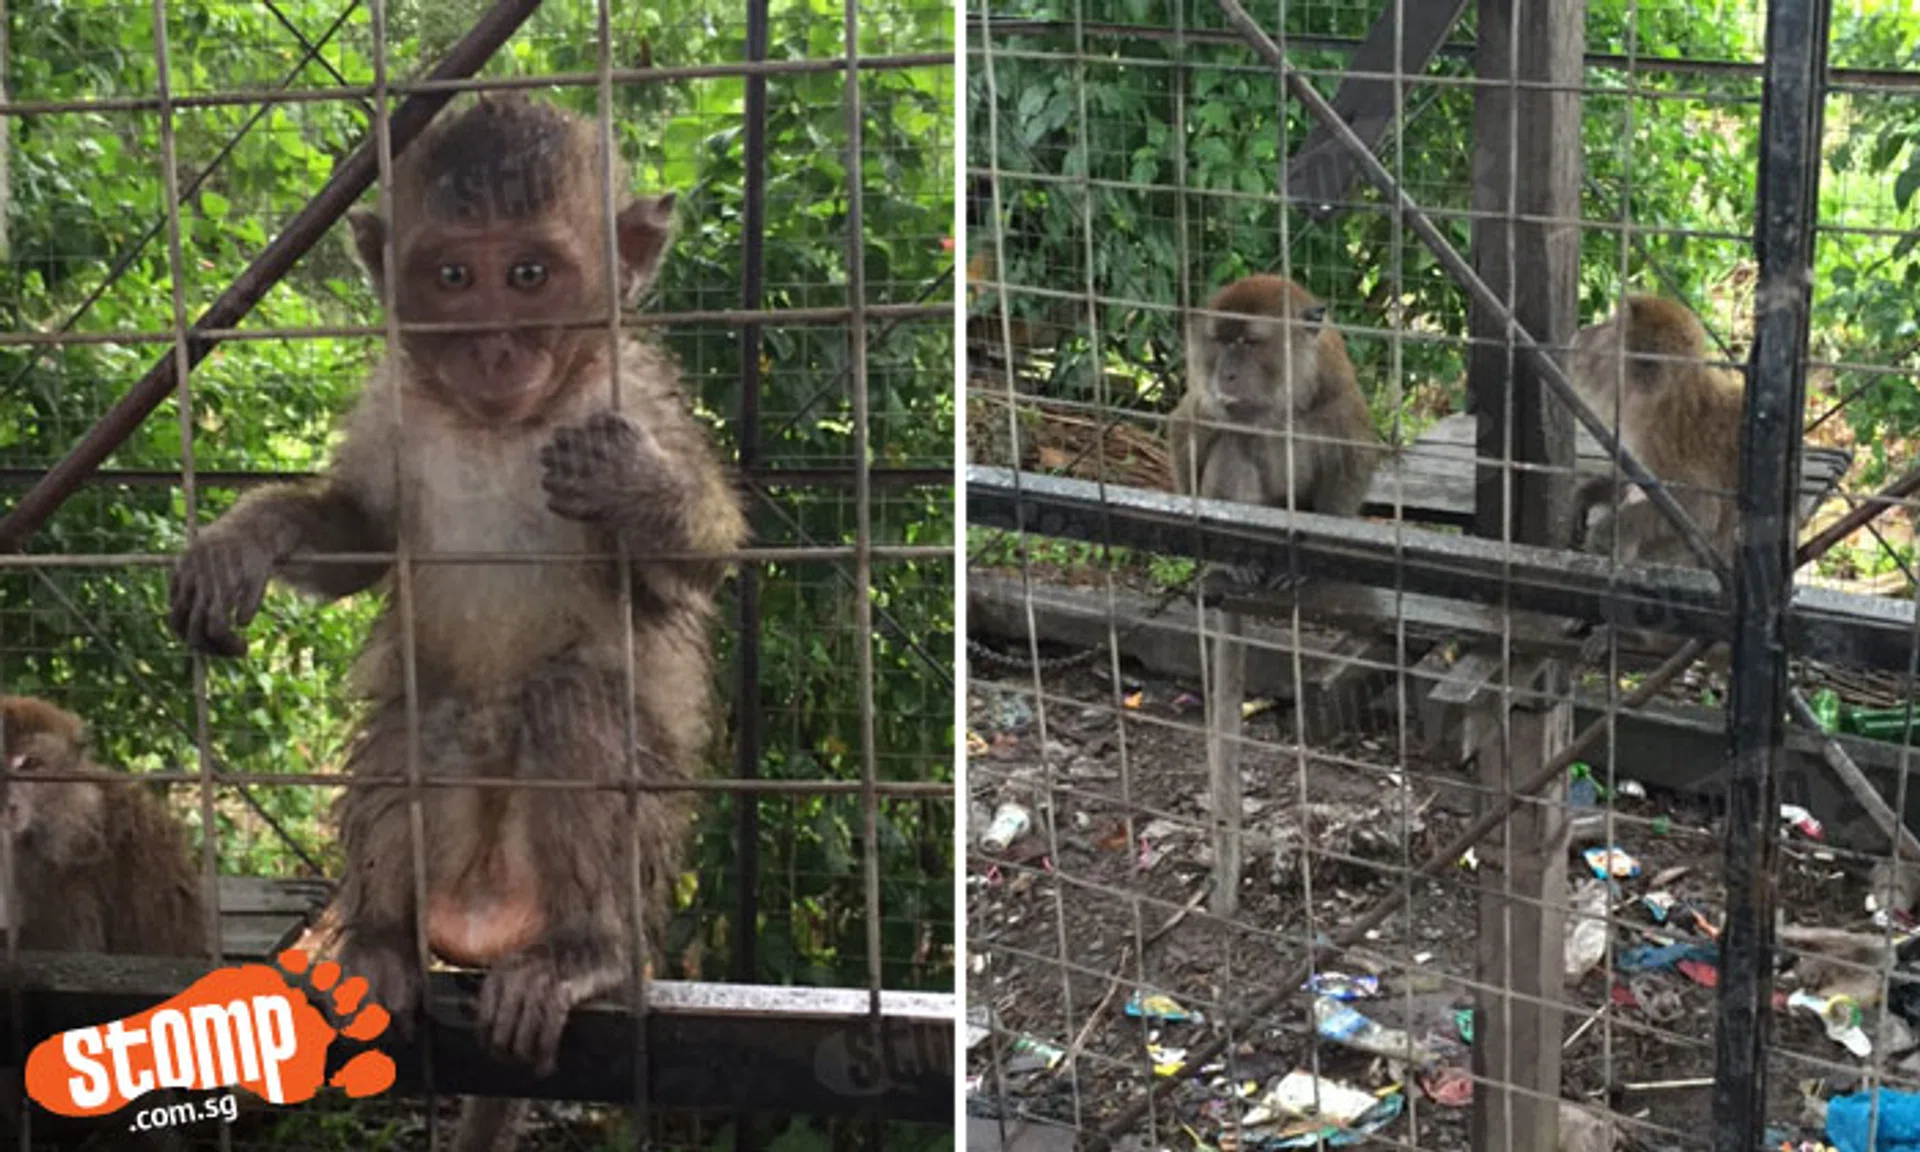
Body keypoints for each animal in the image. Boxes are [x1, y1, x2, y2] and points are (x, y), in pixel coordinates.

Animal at [166, 95, 748, 1150]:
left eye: (528, 275)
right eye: (452, 278)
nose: (494, 346)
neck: (500, 426)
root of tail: (490, 913)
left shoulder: (640, 400)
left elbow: (702, 561)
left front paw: (635, 490)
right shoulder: (391, 406)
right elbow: (361, 538)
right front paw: (243, 540)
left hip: (628, 855)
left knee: (574, 704)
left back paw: (584, 950)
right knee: (422, 718)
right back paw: (383, 944)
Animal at [1164, 275, 1385, 915]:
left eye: (1249, 342)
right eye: (1221, 341)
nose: (1227, 373)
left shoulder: (1334, 382)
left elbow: (1349, 452)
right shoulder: (1205, 400)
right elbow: (1188, 431)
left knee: (1314, 442)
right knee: (1233, 448)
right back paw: (1241, 564)